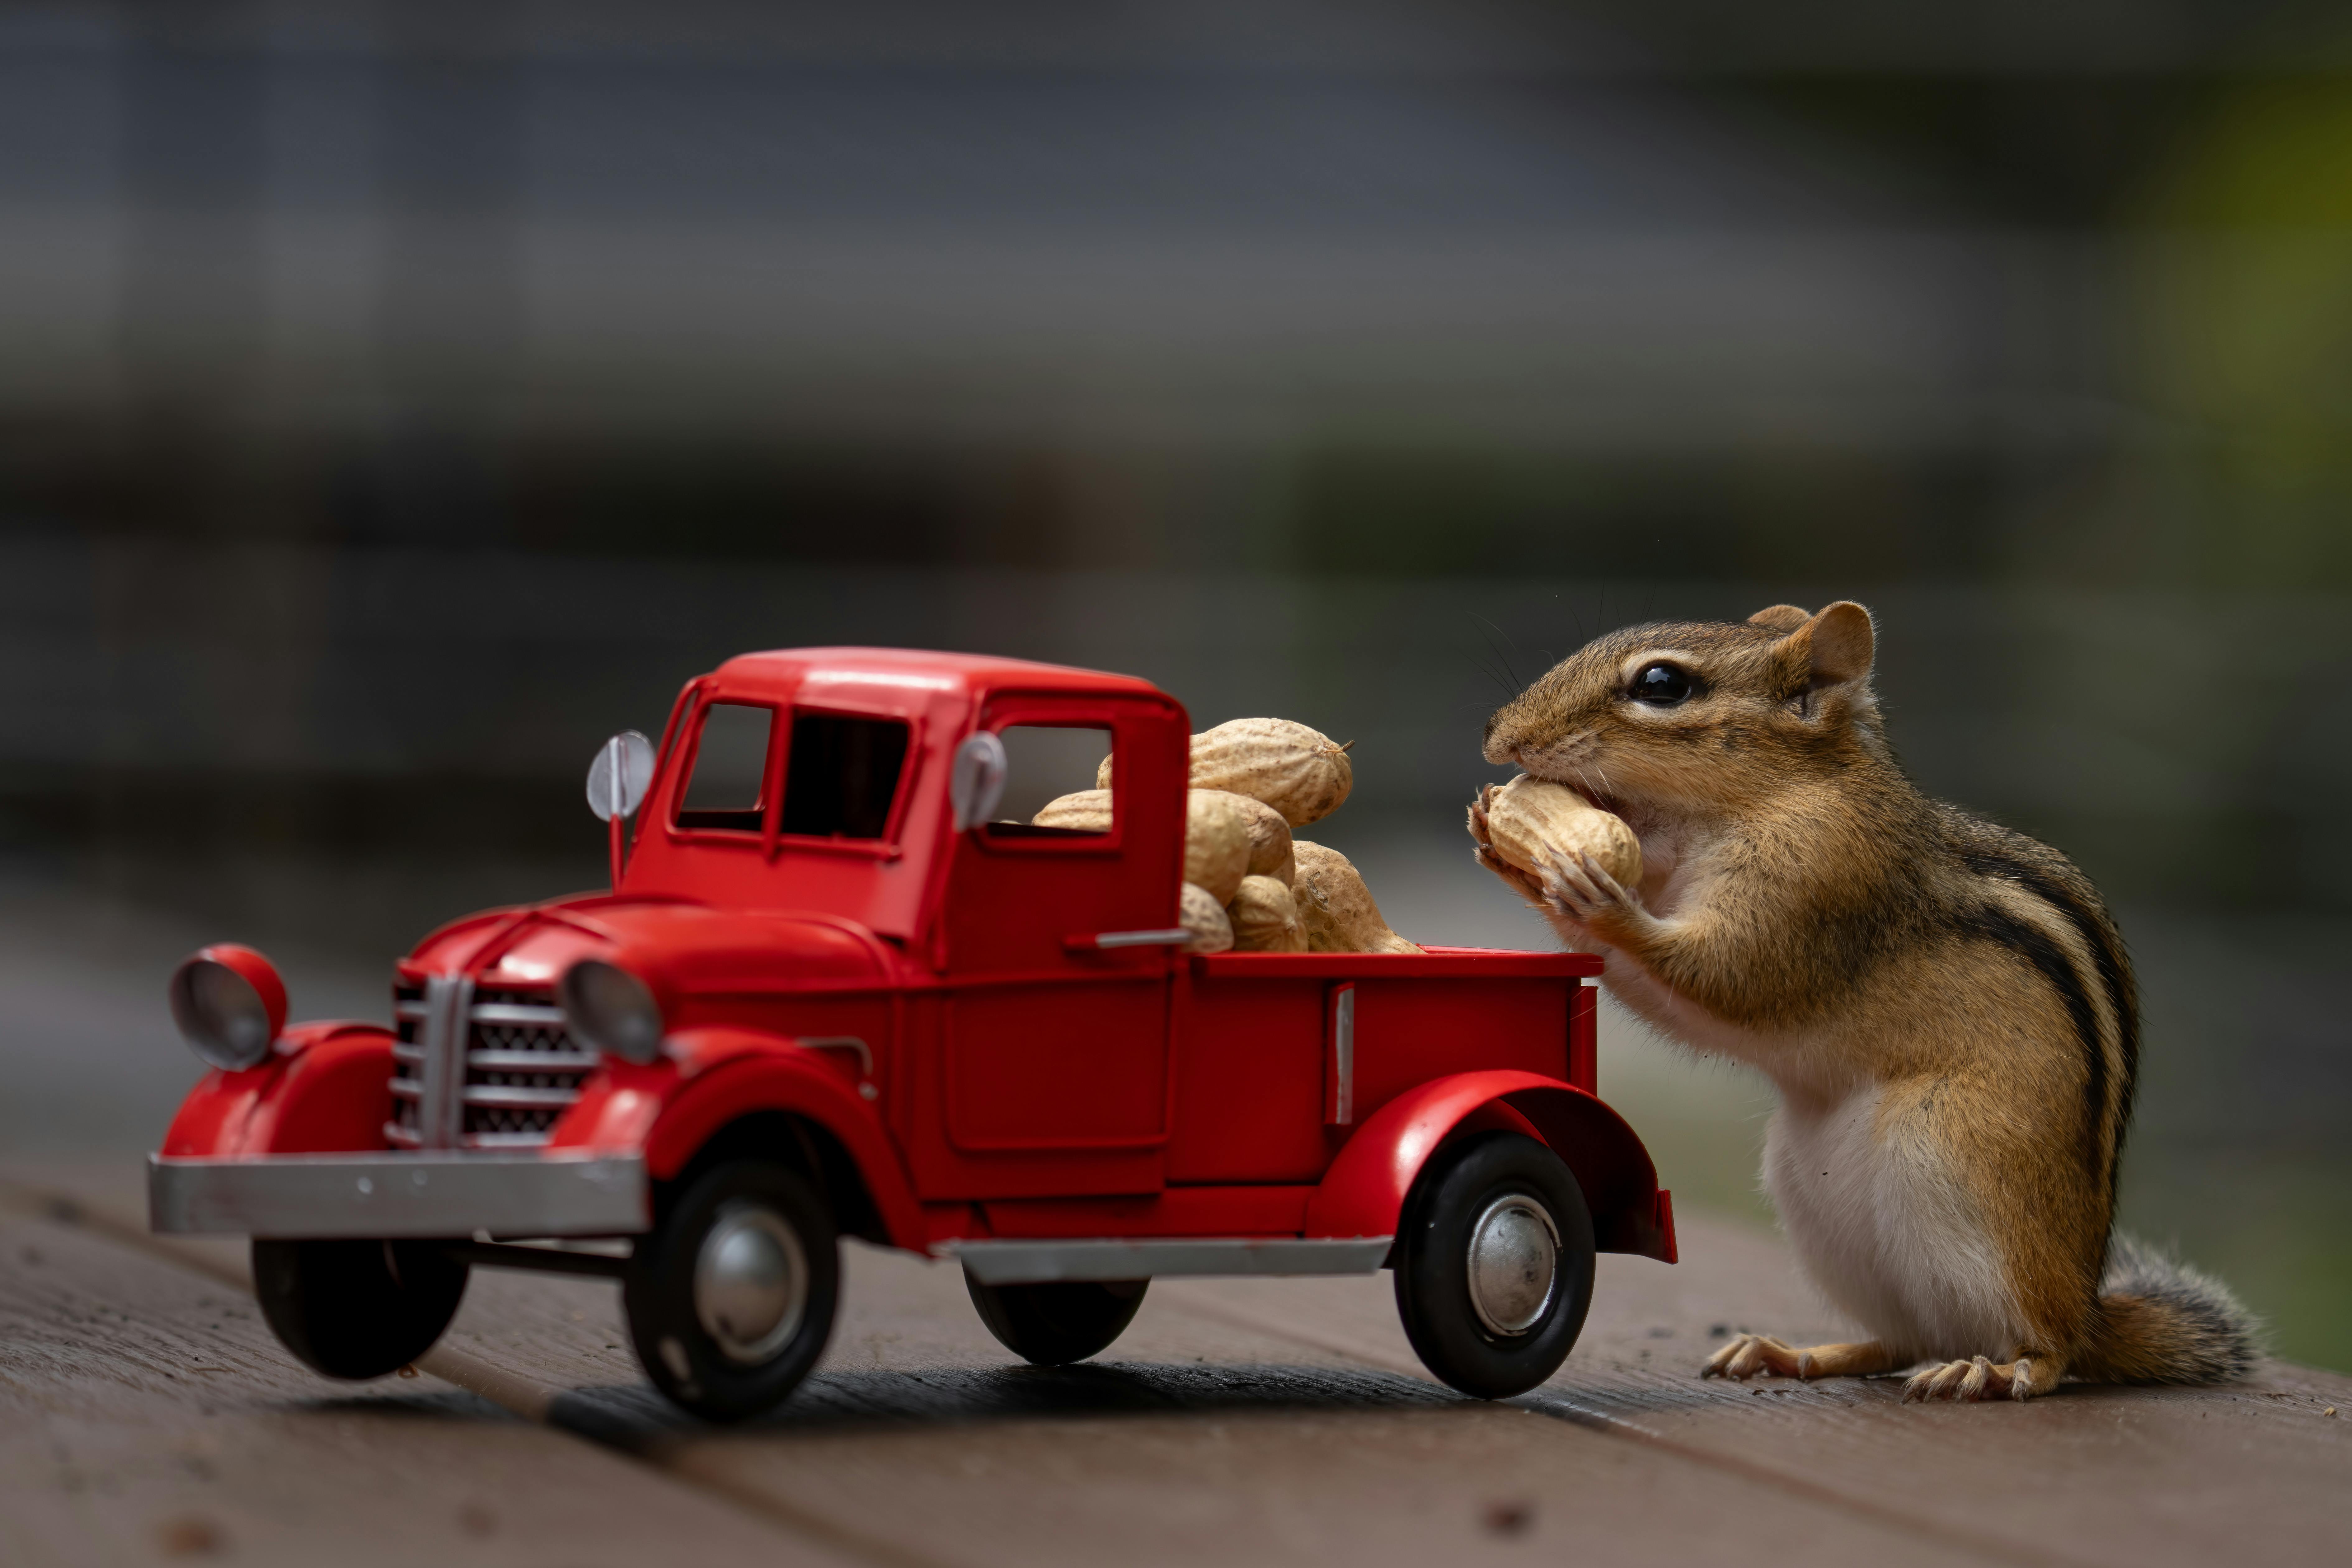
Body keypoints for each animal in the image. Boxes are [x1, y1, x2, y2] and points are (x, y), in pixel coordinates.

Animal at [1467, 601, 2256, 1402]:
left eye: (1661, 684)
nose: (1498, 734)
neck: (1741, 807)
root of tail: (2090, 1304)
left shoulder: (1817, 882)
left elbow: (1724, 976)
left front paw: (1592, 896)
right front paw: (1502, 842)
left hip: (1954, 1150)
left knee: (2049, 1350)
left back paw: (1998, 1367)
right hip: (1813, 1195)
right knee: (1903, 1336)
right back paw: (1795, 1353)